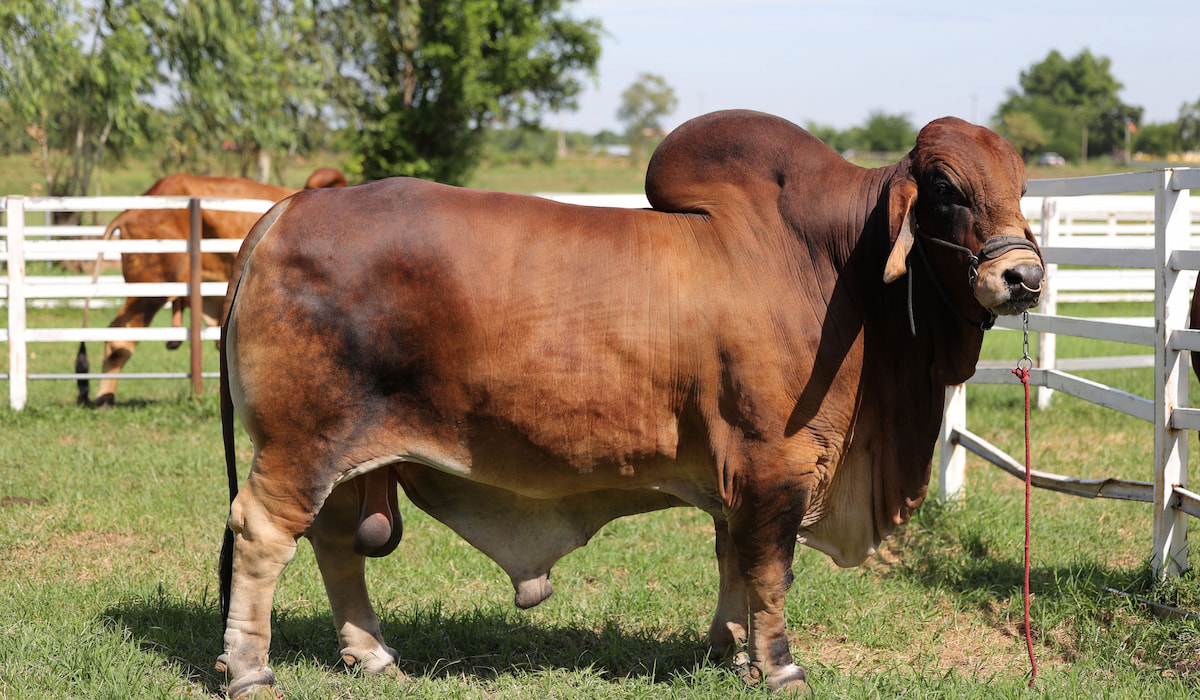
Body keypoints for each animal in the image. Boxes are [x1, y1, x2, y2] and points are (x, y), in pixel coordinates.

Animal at [215, 110, 1043, 697]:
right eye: (945, 188)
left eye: (1022, 186)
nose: (1024, 278)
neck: (834, 267)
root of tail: (286, 212)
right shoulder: (776, 462)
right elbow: (770, 568)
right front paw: (778, 665)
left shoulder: (736, 470)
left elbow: (732, 554)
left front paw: (728, 649)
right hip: (301, 443)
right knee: (263, 535)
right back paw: (252, 672)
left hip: (346, 455)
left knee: (333, 545)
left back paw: (375, 656)